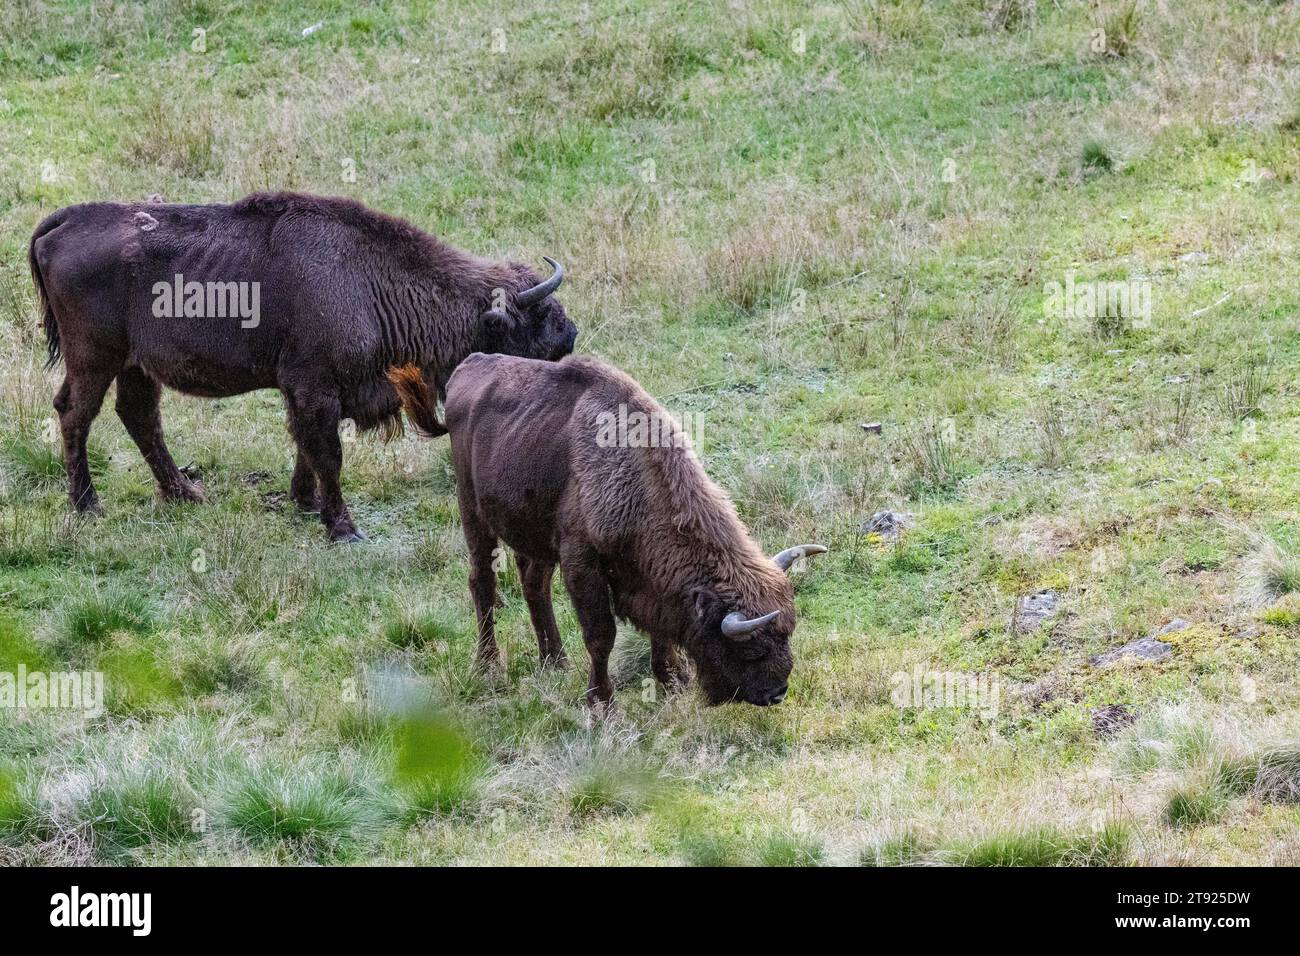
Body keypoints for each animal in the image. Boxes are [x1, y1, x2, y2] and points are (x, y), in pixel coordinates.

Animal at [28, 192, 575, 541]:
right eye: (534, 323)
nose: (571, 335)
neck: (369, 278)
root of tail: (65, 221)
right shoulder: (316, 387)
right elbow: (326, 452)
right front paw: (343, 528)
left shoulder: (309, 392)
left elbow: (305, 447)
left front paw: (304, 501)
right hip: (94, 358)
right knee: (75, 413)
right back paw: (87, 505)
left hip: (135, 365)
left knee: (139, 416)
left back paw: (187, 494)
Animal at [389, 354, 826, 708]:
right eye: (749, 650)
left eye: (788, 633)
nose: (776, 693)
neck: (633, 471)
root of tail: (468, 366)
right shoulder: (582, 563)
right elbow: (601, 636)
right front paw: (601, 703)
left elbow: (659, 628)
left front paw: (672, 681)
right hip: (474, 515)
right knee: (482, 583)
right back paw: (489, 665)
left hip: (535, 537)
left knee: (533, 584)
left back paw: (555, 661)